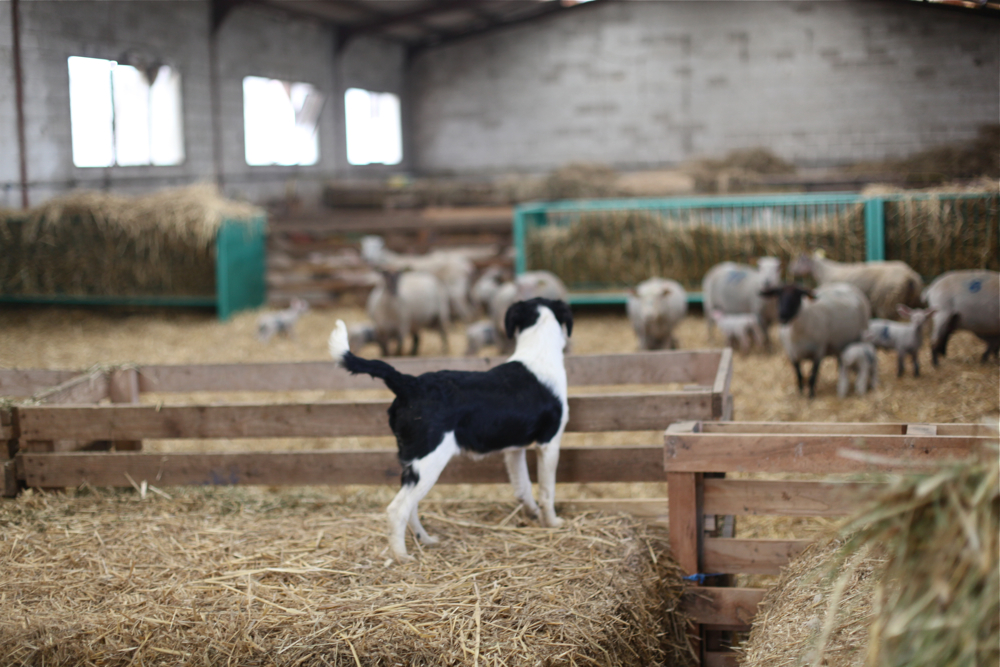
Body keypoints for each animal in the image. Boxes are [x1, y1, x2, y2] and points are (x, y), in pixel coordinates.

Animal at [329, 297, 573, 563]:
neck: (538, 350)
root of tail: (409, 383)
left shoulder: (513, 449)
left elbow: (523, 487)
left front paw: (532, 514)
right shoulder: (549, 443)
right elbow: (547, 490)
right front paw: (552, 523)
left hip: (412, 464)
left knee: (410, 505)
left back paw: (426, 540)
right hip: (429, 460)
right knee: (397, 508)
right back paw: (402, 556)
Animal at [789, 250, 923, 319]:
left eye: (799, 260)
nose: (790, 269)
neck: (824, 271)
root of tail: (910, 276)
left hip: (887, 299)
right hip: (912, 300)